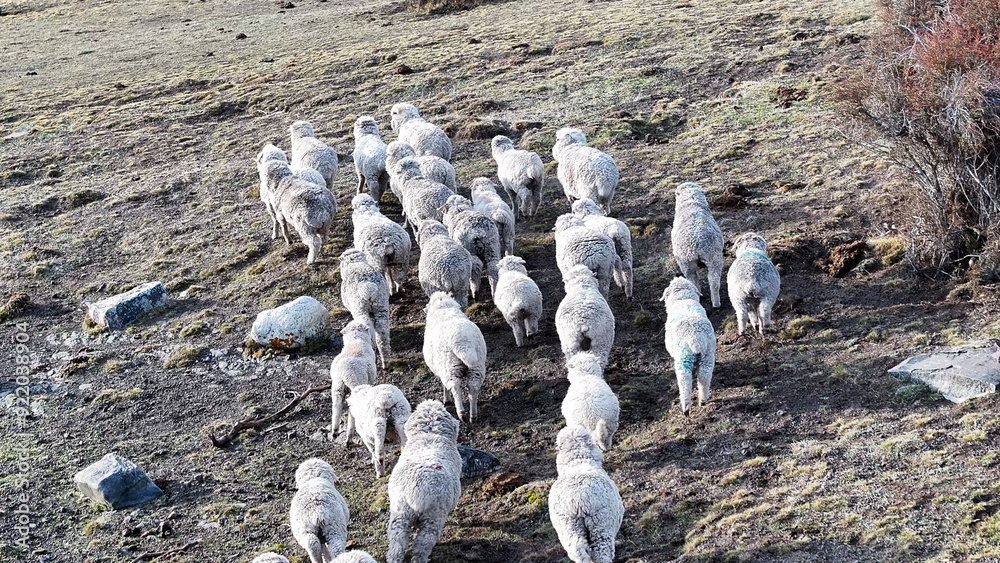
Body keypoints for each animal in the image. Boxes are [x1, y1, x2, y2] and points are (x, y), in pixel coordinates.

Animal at [386, 400, 462, 563]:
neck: (429, 434)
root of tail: (417, 493)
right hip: (433, 517)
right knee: (424, 544)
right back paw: (423, 558)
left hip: (400, 514)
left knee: (397, 544)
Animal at [422, 292, 487, 423]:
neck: (444, 308)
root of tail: (463, 342)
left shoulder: (441, 369)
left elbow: (444, 385)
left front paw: (446, 399)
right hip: (477, 366)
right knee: (473, 387)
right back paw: (473, 415)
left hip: (450, 366)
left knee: (455, 386)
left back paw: (461, 413)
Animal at [548, 425, 624, 563]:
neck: (578, 461)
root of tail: (579, 502)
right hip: (601, 523)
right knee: (601, 552)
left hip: (569, 527)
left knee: (578, 549)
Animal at [660, 277, 717, 414]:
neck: (682, 298)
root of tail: (696, 338)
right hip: (708, 355)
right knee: (704, 376)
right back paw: (702, 400)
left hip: (684, 357)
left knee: (685, 380)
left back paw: (685, 406)